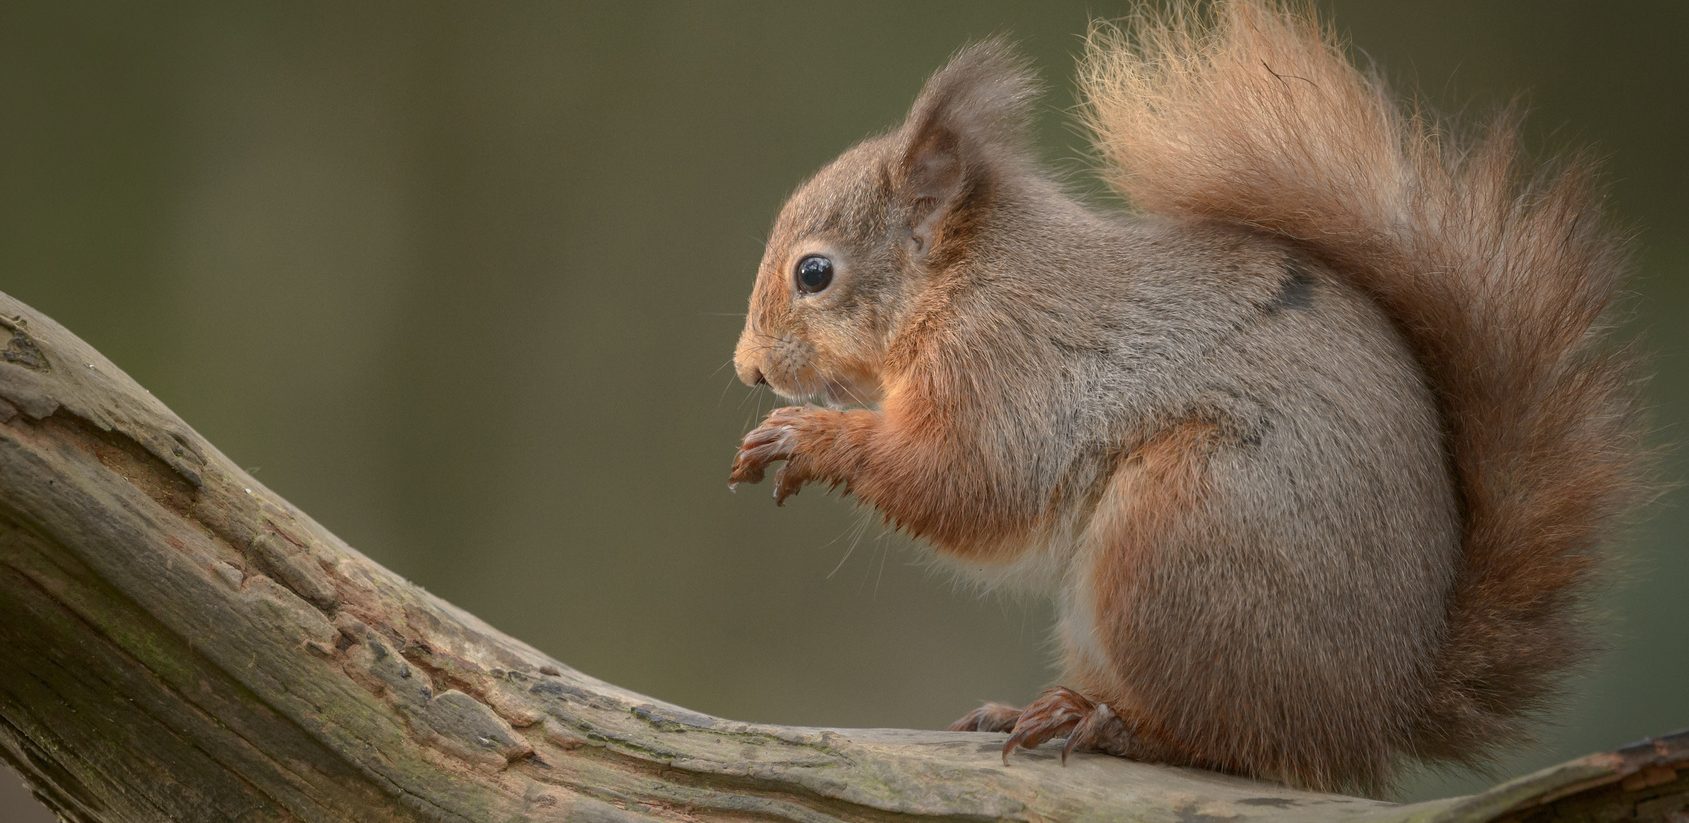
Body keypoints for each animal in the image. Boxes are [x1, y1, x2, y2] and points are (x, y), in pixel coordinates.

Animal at [727, 0, 1644, 797]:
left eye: (815, 272)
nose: (746, 369)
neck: (961, 278)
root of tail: (1376, 711)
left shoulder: (1005, 366)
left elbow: (969, 484)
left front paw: (806, 437)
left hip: (1181, 536)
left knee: (1225, 742)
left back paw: (1100, 723)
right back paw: (1026, 710)